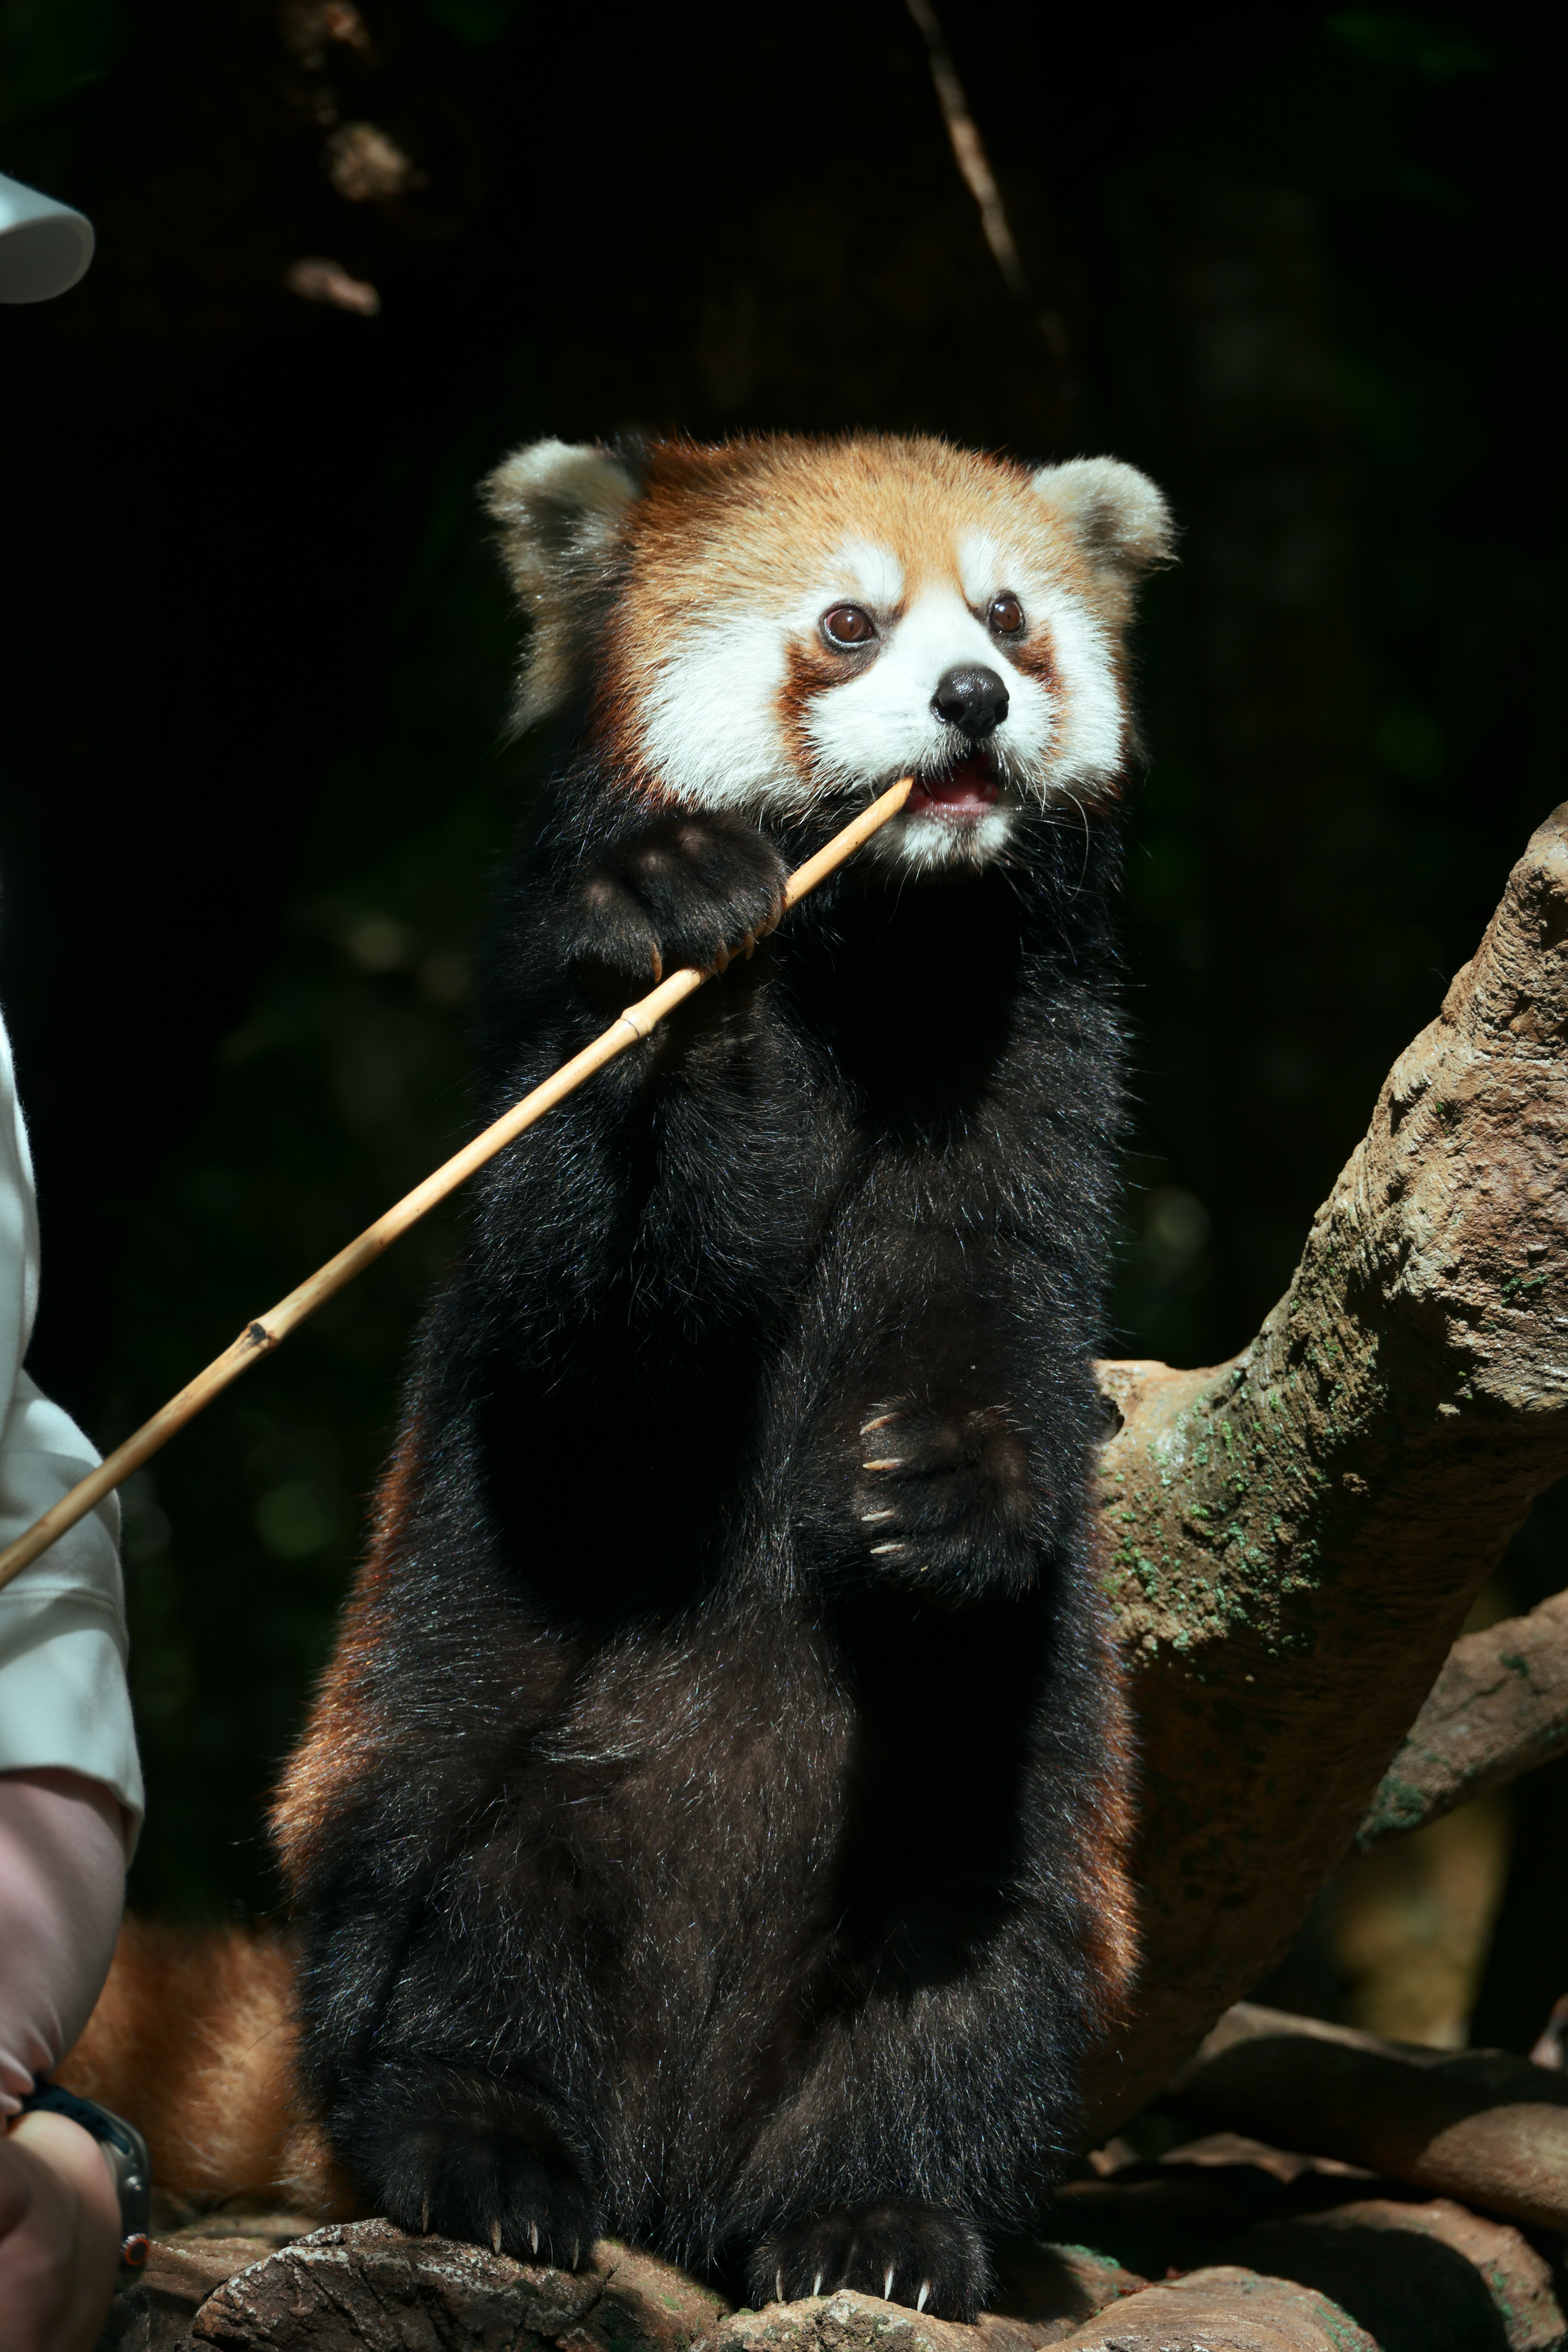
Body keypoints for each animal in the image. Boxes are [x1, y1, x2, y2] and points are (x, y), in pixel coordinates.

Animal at [271, 431, 1171, 2321]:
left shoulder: (1036, 1095)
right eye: (848, 625)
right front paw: (689, 957)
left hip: (991, 1840)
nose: (973, 701)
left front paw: (950, 1486)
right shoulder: (544, 1070)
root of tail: (676, 2164)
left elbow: (1010, 1326)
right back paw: (480, 2151)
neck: (883, 958)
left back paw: (876, 2226)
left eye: (1010, 617)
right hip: (460, 1774)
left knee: (971, 1995)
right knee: (446, 1921)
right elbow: (600, 1327)